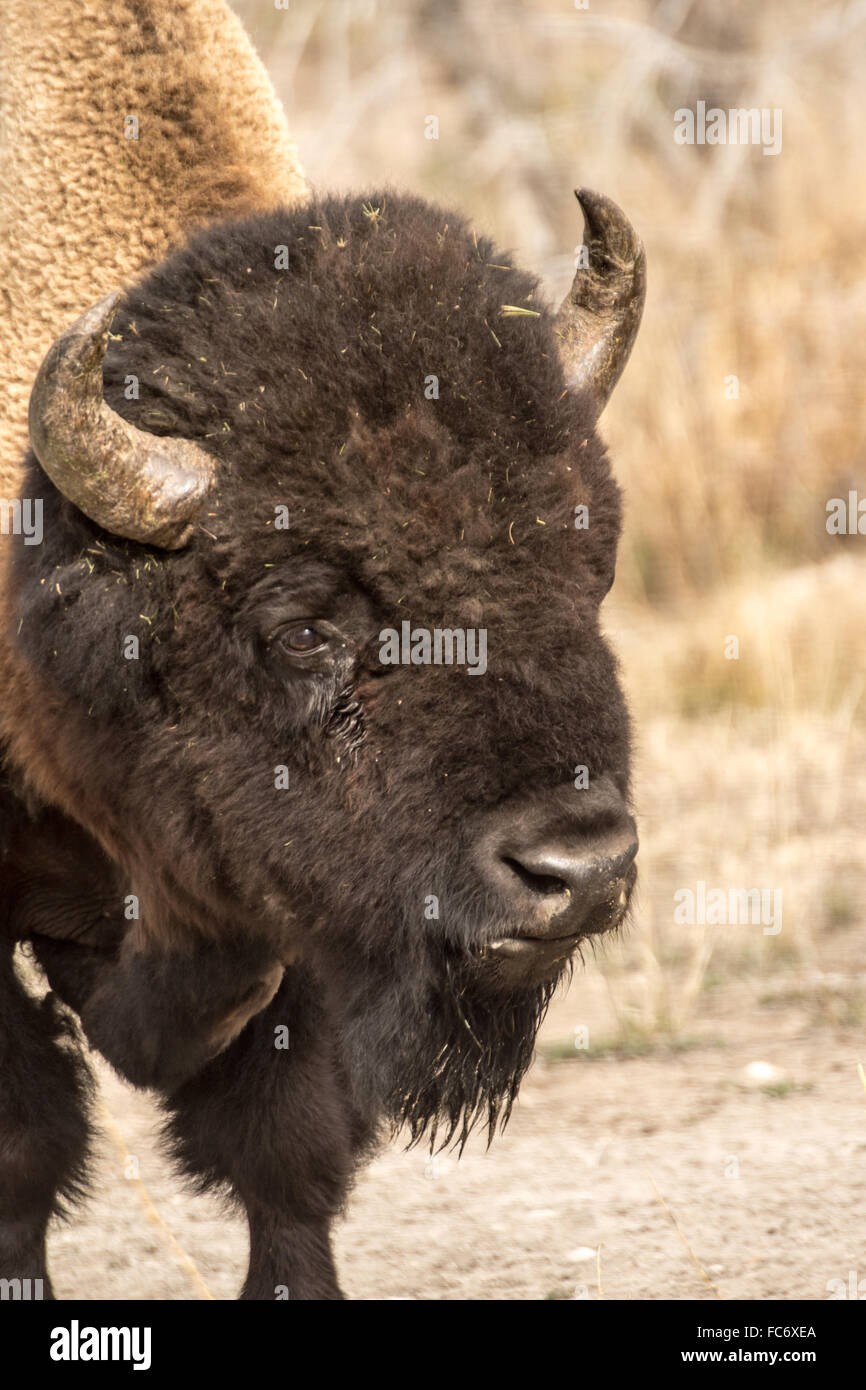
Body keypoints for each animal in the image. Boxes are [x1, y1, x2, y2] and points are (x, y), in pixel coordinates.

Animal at [0, 0, 644, 1299]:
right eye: (302, 625)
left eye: (588, 567)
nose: (578, 867)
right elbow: (24, 1140)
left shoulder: (300, 907)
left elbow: (284, 1147)